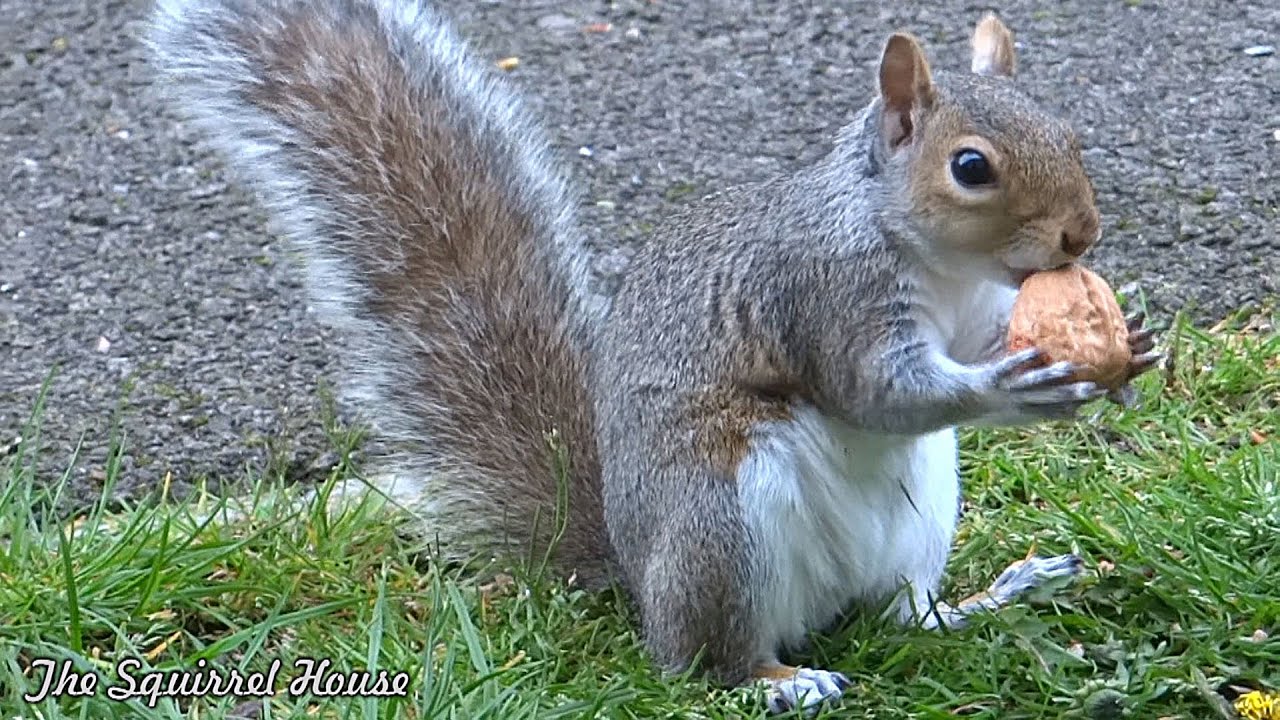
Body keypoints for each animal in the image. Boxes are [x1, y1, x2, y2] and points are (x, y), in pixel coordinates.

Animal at [148, 0, 1160, 713]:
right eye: (971, 167)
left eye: (1069, 133)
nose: (1082, 234)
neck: (941, 261)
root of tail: (635, 575)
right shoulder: (823, 292)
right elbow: (879, 392)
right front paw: (1015, 385)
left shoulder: (979, 309)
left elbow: (973, 347)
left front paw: (1129, 346)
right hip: (723, 524)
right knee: (700, 663)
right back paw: (778, 683)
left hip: (920, 519)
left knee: (904, 613)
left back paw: (999, 595)